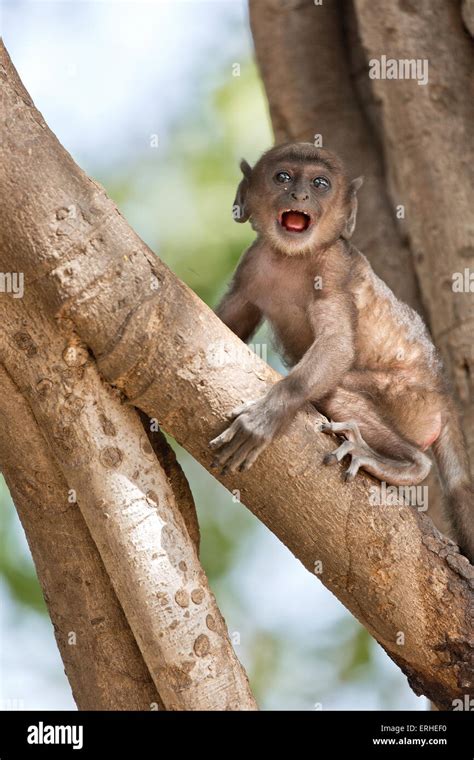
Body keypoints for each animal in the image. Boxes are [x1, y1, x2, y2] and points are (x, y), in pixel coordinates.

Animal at [209, 142, 474, 564]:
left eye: (320, 184)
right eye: (282, 177)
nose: (299, 195)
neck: (292, 257)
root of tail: (445, 394)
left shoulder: (333, 267)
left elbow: (336, 345)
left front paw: (266, 417)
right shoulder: (251, 264)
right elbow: (224, 324)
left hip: (412, 402)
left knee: (336, 391)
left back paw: (407, 464)